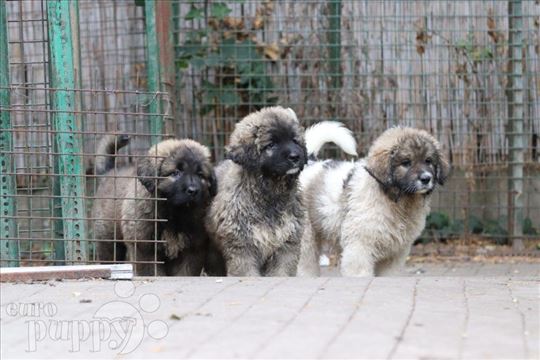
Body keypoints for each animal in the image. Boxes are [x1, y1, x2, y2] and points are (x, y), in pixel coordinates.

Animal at [206, 106, 308, 276]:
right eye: (271, 145)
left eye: (295, 140)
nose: (295, 156)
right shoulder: (242, 246)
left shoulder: (286, 245)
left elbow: (282, 272)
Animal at [298, 122, 450, 278]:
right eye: (406, 162)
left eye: (428, 161)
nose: (426, 179)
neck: (396, 201)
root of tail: (309, 164)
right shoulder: (360, 246)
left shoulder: (394, 254)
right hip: (306, 237)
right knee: (306, 263)